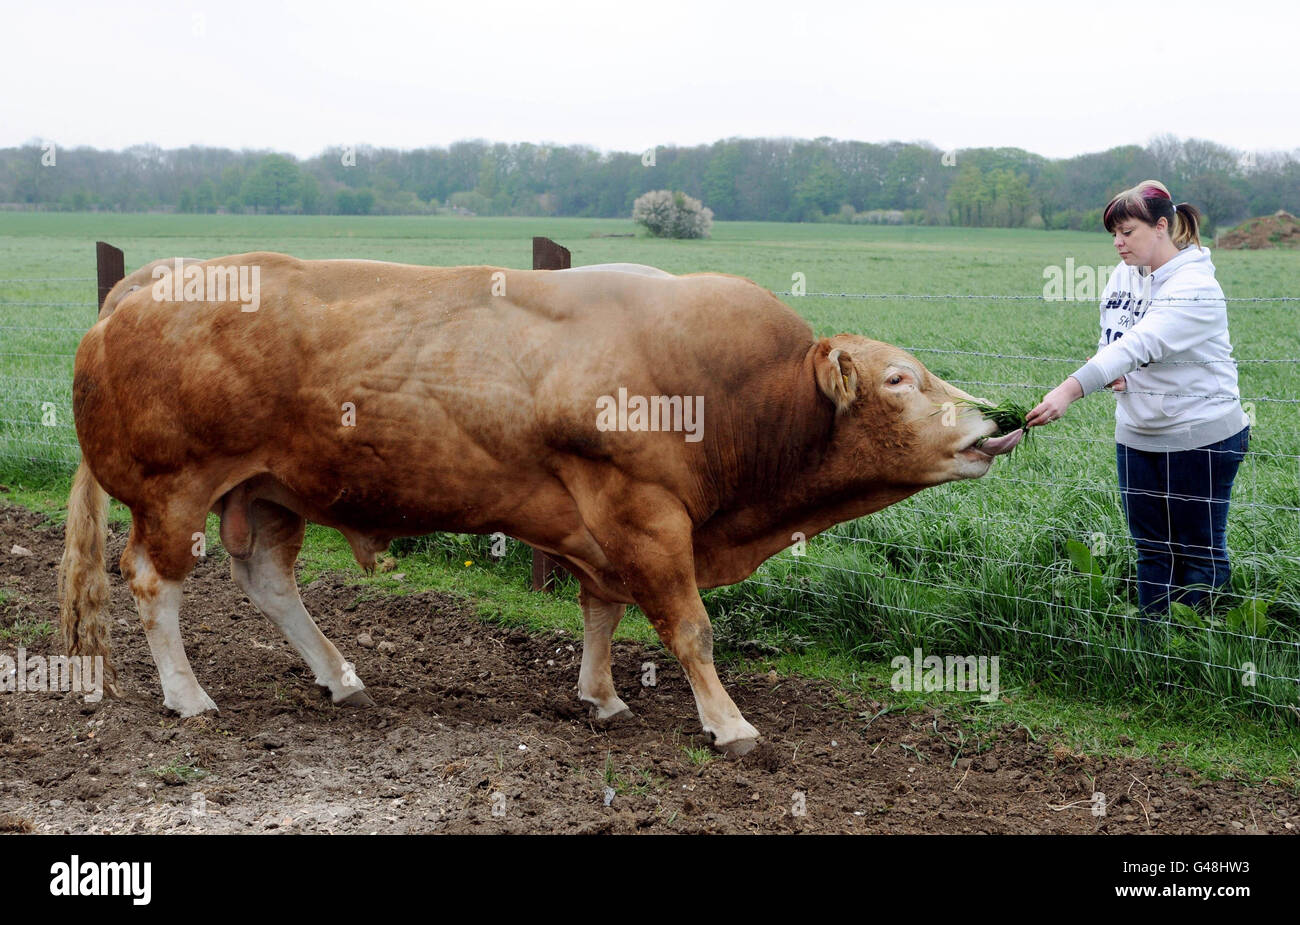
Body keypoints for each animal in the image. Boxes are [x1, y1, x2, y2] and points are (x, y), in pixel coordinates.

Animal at [59, 253, 1022, 757]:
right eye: (898, 379)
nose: (999, 420)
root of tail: (154, 277)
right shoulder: (647, 512)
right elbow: (689, 627)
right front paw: (729, 722)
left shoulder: (603, 525)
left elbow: (603, 609)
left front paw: (602, 696)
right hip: (174, 489)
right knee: (150, 581)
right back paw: (189, 696)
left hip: (267, 493)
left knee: (268, 581)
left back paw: (339, 675)